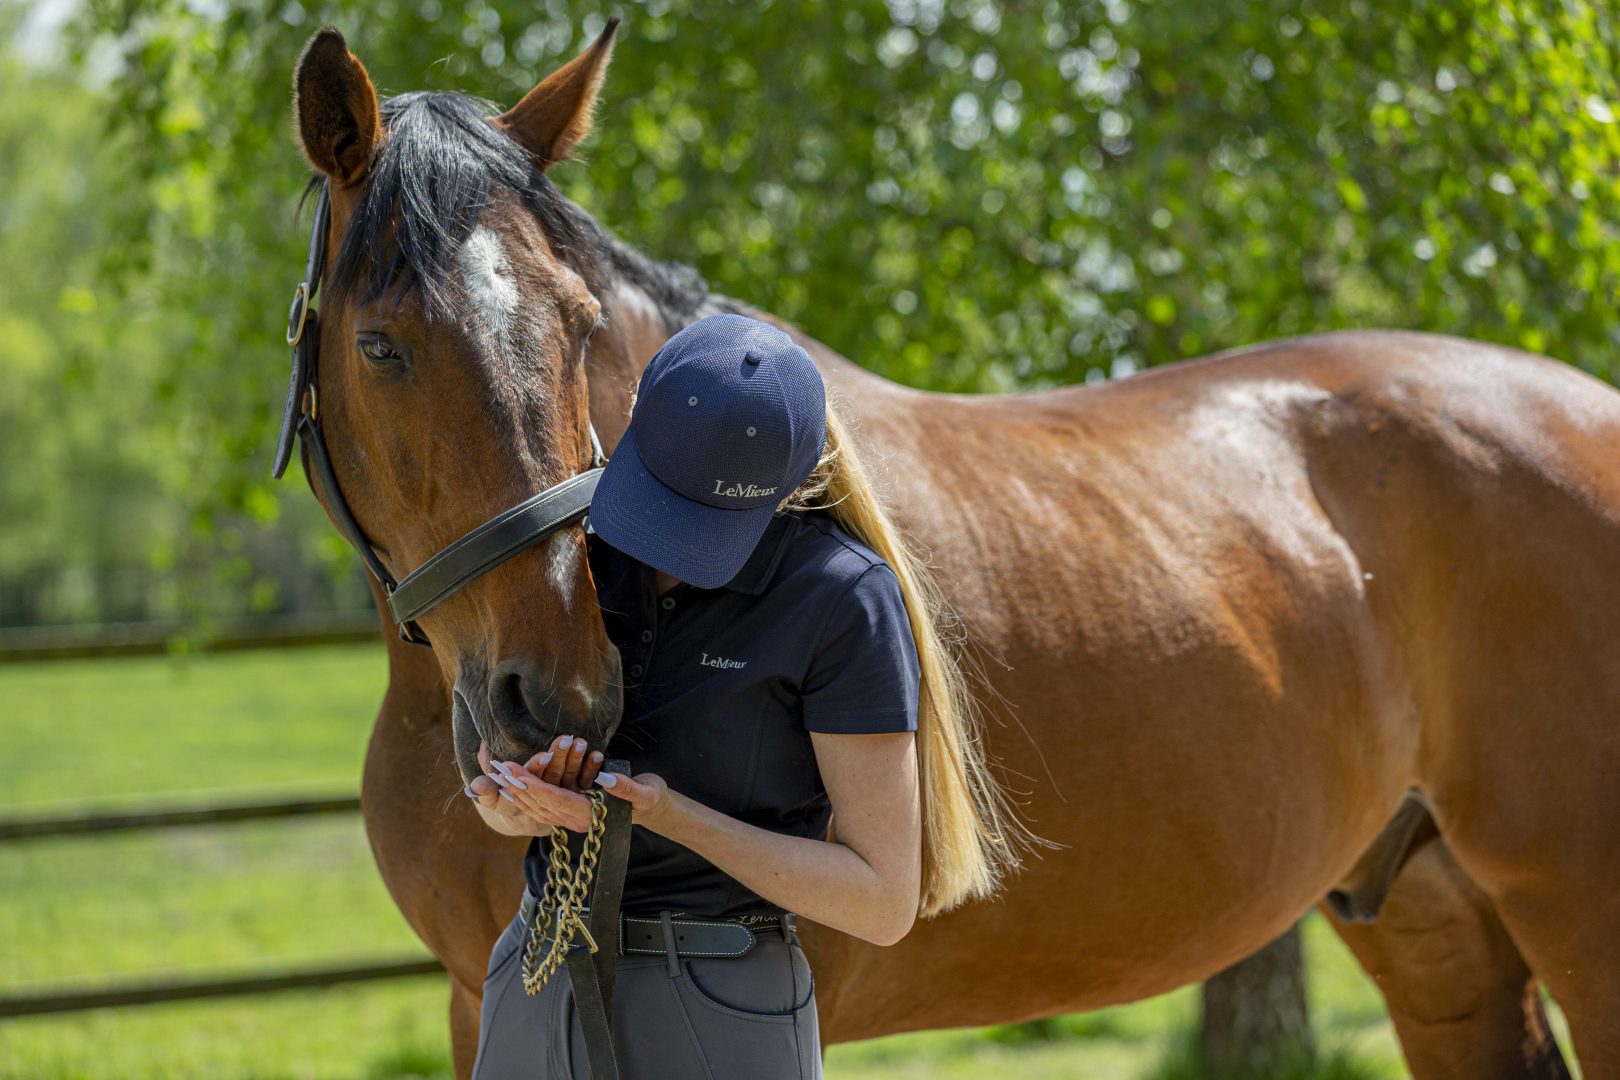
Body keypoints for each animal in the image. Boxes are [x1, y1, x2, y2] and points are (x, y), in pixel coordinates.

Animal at [286, 23, 1614, 1078]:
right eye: (381, 343)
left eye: (578, 325)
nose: (557, 699)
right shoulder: (480, 998)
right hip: (1428, 917)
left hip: (1574, 909)